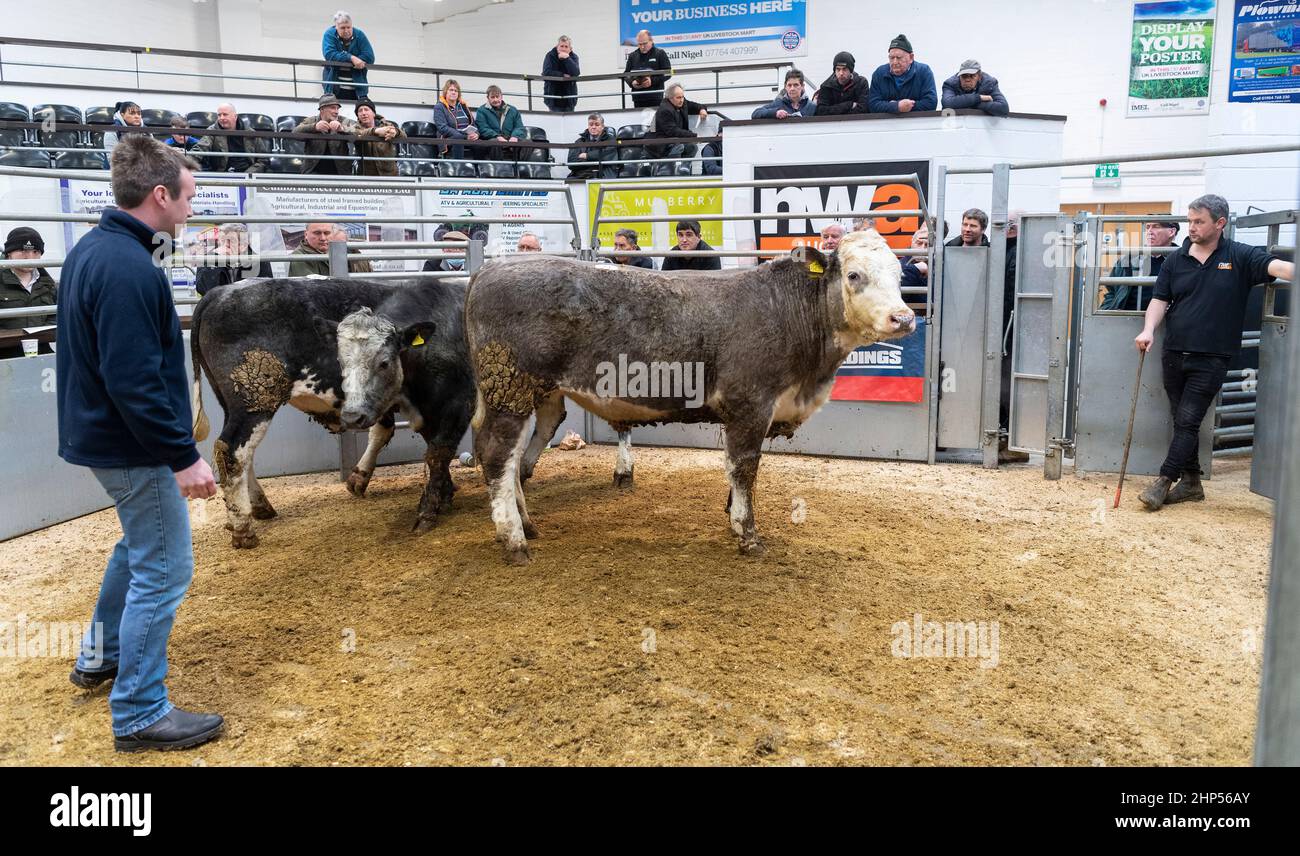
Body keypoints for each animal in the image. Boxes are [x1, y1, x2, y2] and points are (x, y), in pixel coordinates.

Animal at [190, 277, 474, 548]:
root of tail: (220, 291)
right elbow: (434, 449)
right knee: (233, 451)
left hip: (236, 404)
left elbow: (425, 446)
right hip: (254, 401)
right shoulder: (455, 403)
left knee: (237, 453)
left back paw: (259, 506)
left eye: (384, 362)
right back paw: (242, 527)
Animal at [464, 228, 917, 565]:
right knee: (498, 455)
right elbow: (744, 468)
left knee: (516, 455)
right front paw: (747, 534)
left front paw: (733, 515)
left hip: (532, 393)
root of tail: (488, 270)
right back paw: (514, 541)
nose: (904, 317)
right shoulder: (750, 404)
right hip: (510, 386)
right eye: (854, 275)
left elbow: (739, 473)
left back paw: (528, 524)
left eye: (900, 275)